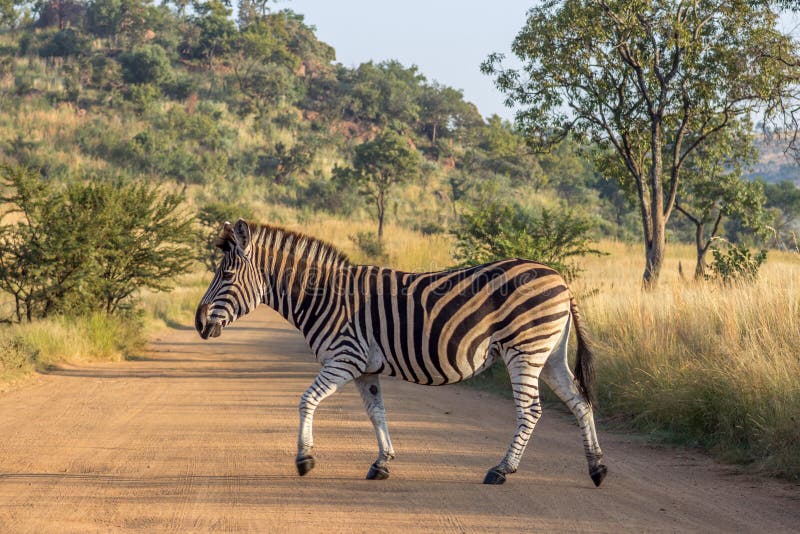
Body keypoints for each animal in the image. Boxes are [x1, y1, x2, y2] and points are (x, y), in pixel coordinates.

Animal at [195, 219, 607, 487]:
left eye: (226, 276)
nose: (198, 323)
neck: (325, 297)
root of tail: (560, 279)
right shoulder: (366, 368)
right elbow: (377, 413)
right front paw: (382, 463)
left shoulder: (344, 359)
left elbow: (306, 399)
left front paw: (305, 459)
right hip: (549, 355)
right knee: (580, 402)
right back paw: (597, 469)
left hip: (524, 351)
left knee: (531, 411)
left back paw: (501, 470)